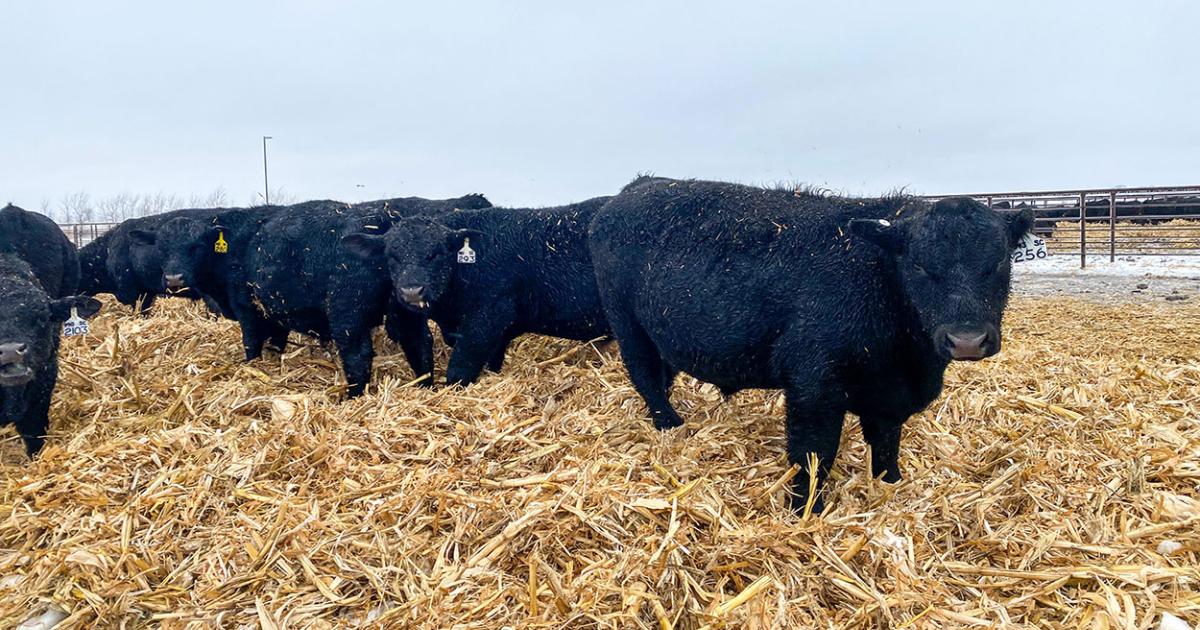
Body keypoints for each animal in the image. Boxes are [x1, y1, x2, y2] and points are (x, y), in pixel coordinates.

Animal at [588, 178, 1033, 512]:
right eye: (920, 265)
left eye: (998, 261)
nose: (967, 340)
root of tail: (637, 186)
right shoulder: (813, 385)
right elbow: (813, 453)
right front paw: (805, 510)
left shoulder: (888, 394)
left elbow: (886, 445)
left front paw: (890, 484)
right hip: (629, 327)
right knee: (646, 378)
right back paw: (670, 425)